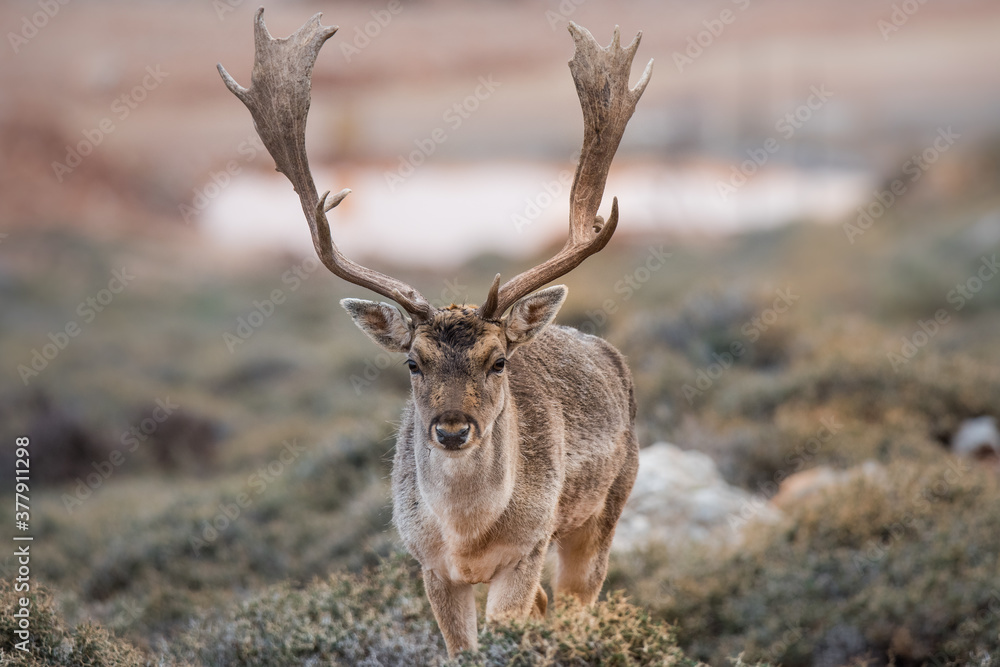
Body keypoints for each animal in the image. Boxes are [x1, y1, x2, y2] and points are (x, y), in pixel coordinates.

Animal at [218, 8, 652, 657]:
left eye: (498, 361)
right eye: (413, 362)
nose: (451, 429)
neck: (467, 538)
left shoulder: (526, 549)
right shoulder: (428, 565)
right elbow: (462, 648)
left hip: (604, 510)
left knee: (578, 602)